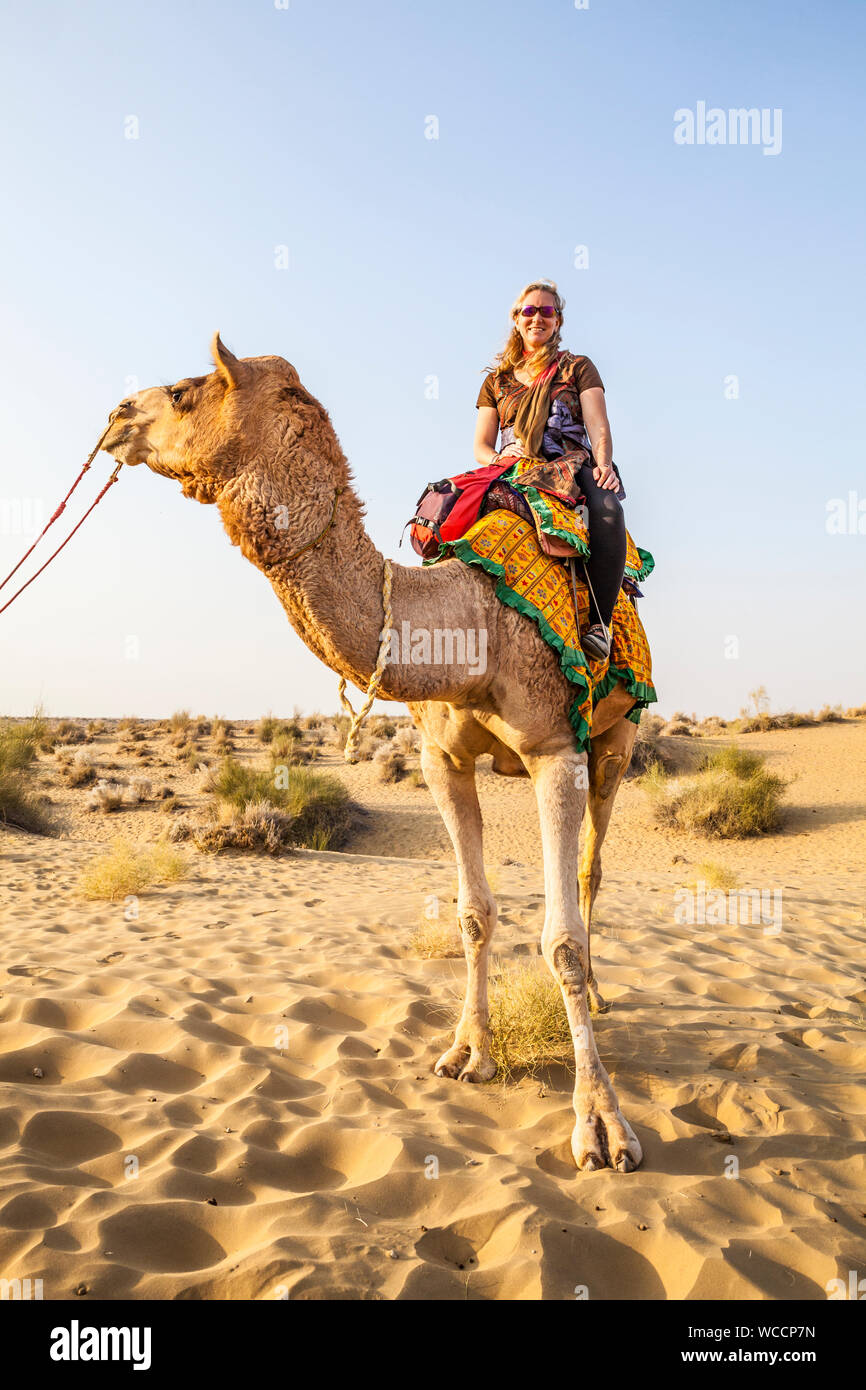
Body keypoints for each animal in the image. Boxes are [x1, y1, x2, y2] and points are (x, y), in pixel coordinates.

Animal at [100, 335, 642, 1173]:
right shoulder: (440, 760)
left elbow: (562, 944)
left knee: (590, 871)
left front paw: (602, 1125)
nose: (117, 415)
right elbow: (474, 913)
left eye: (188, 389)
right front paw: (469, 1054)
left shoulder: (557, 748)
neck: (470, 622)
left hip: (614, 742)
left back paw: (609, 997)